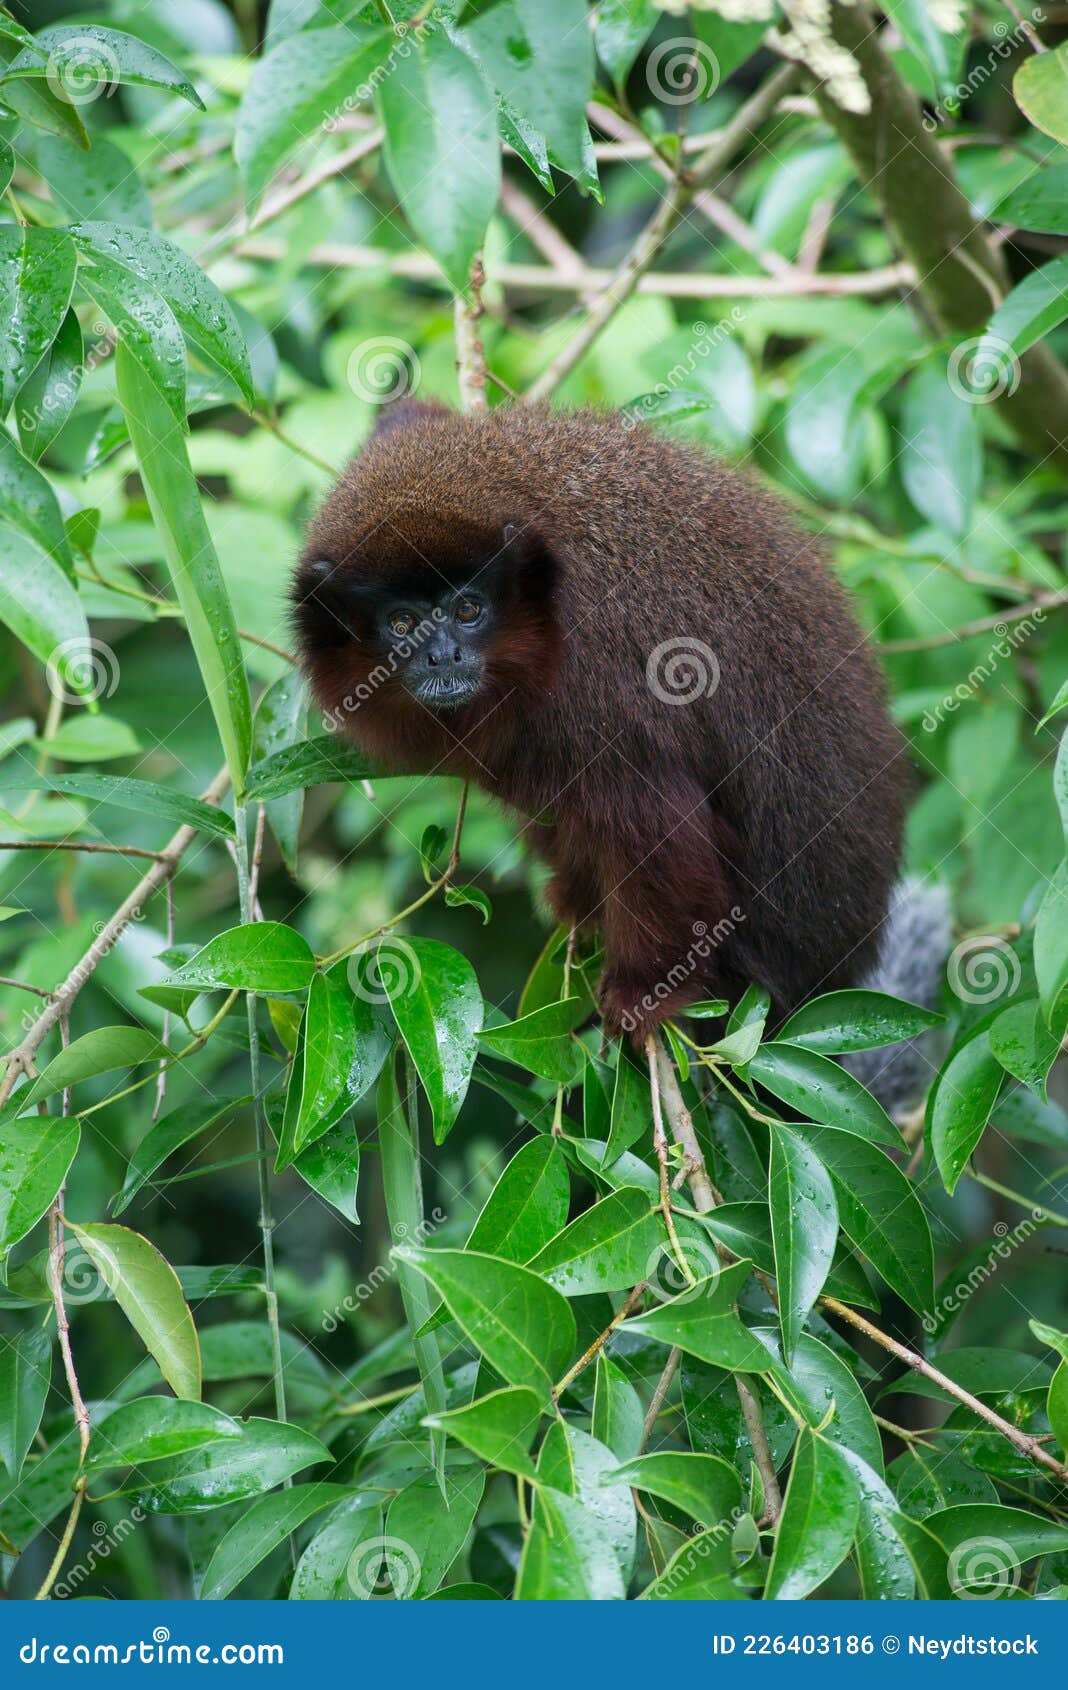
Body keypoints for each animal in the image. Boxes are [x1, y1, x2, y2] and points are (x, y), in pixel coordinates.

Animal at [291, 401, 931, 1050]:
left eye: (467, 609)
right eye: (403, 624)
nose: (442, 656)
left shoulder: (598, 685)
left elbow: (657, 826)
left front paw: (642, 994)